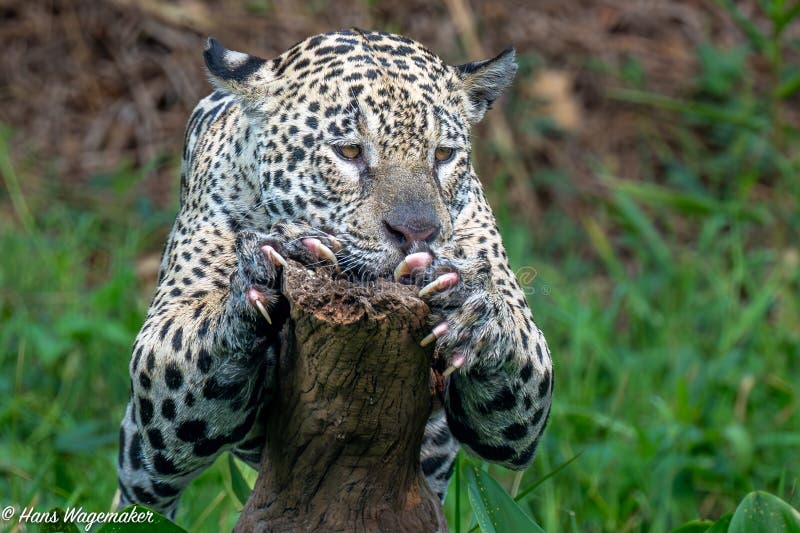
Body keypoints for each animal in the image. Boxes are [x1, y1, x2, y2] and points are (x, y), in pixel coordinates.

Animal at [116, 28, 553, 519]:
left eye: (443, 154)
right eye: (349, 151)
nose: (418, 233)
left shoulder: (525, 412)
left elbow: (520, 352)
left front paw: (472, 309)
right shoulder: (158, 347)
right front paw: (273, 263)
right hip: (147, 455)